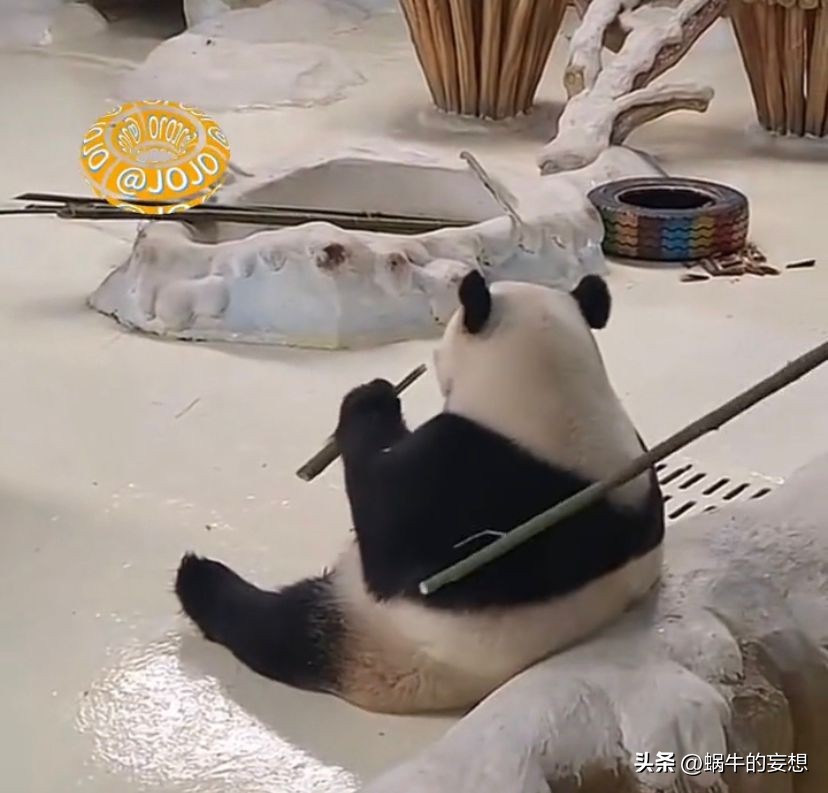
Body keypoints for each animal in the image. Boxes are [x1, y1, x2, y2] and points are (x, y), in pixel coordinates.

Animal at [175, 270, 665, 714]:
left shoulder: (459, 477)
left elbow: (384, 528)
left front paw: (370, 400)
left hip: (373, 637)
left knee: (279, 630)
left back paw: (199, 577)